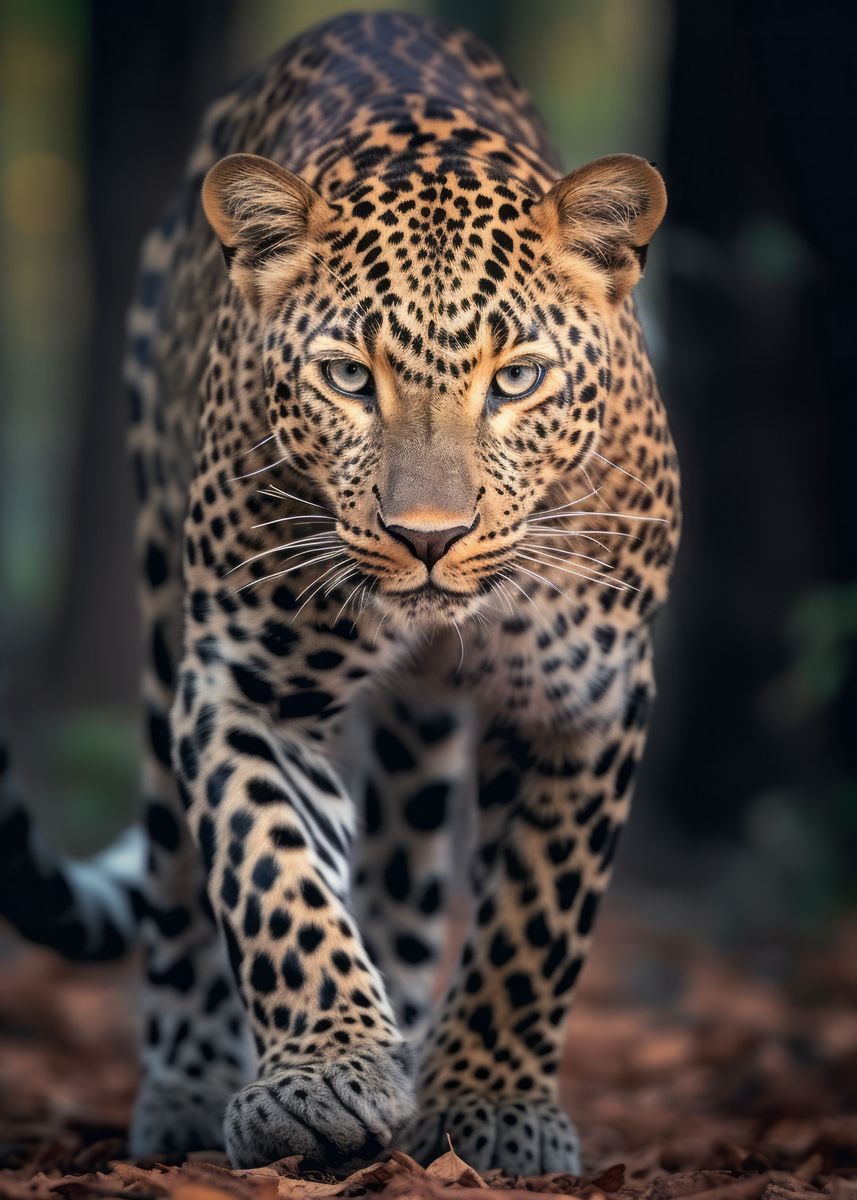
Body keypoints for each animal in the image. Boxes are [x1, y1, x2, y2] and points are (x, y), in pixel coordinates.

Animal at [0, 9, 680, 1177]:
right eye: (348, 378)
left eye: (516, 379)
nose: (428, 540)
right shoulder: (246, 685)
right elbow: (272, 879)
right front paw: (319, 1080)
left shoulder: (583, 698)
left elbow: (533, 916)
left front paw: (492, 1102)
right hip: (157, 611)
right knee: (177, 878)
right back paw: (189, 1084)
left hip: (422, 740)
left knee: (405, 875)